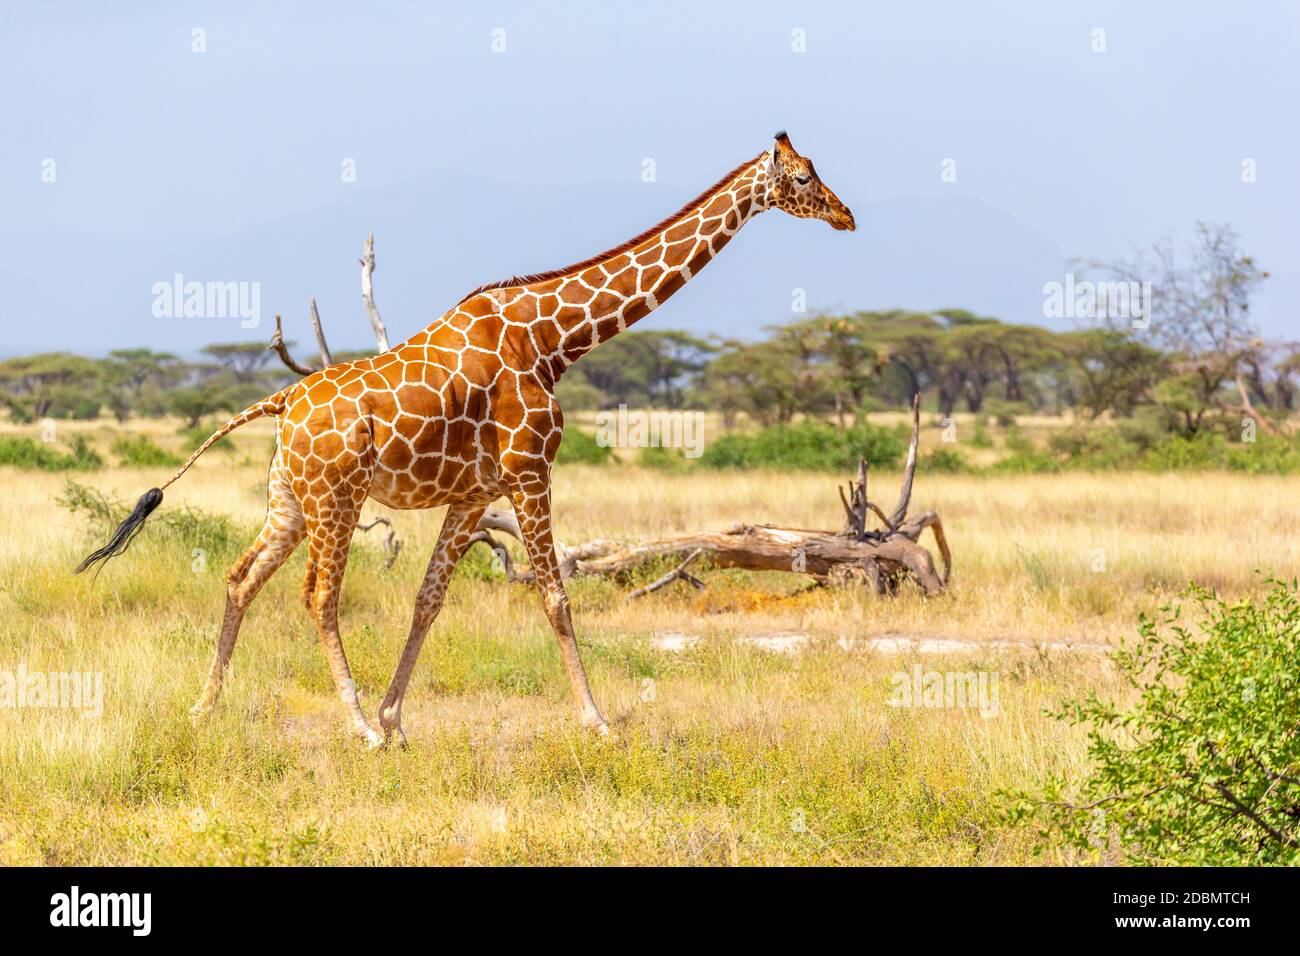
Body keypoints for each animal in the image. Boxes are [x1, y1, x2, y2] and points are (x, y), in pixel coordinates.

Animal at [78, 131, 854, 747]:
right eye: (803, 177)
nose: (846, 215)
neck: (552, 339)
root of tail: (282, 398)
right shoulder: (531, 471)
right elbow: (556, 595)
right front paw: (597, 721)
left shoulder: (475, 493)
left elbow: (430, 598)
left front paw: (396, 719)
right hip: (337, 499)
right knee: (319, 596)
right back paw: (352, 726)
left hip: (288, 498)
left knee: (241, 578)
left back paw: (206, 708)